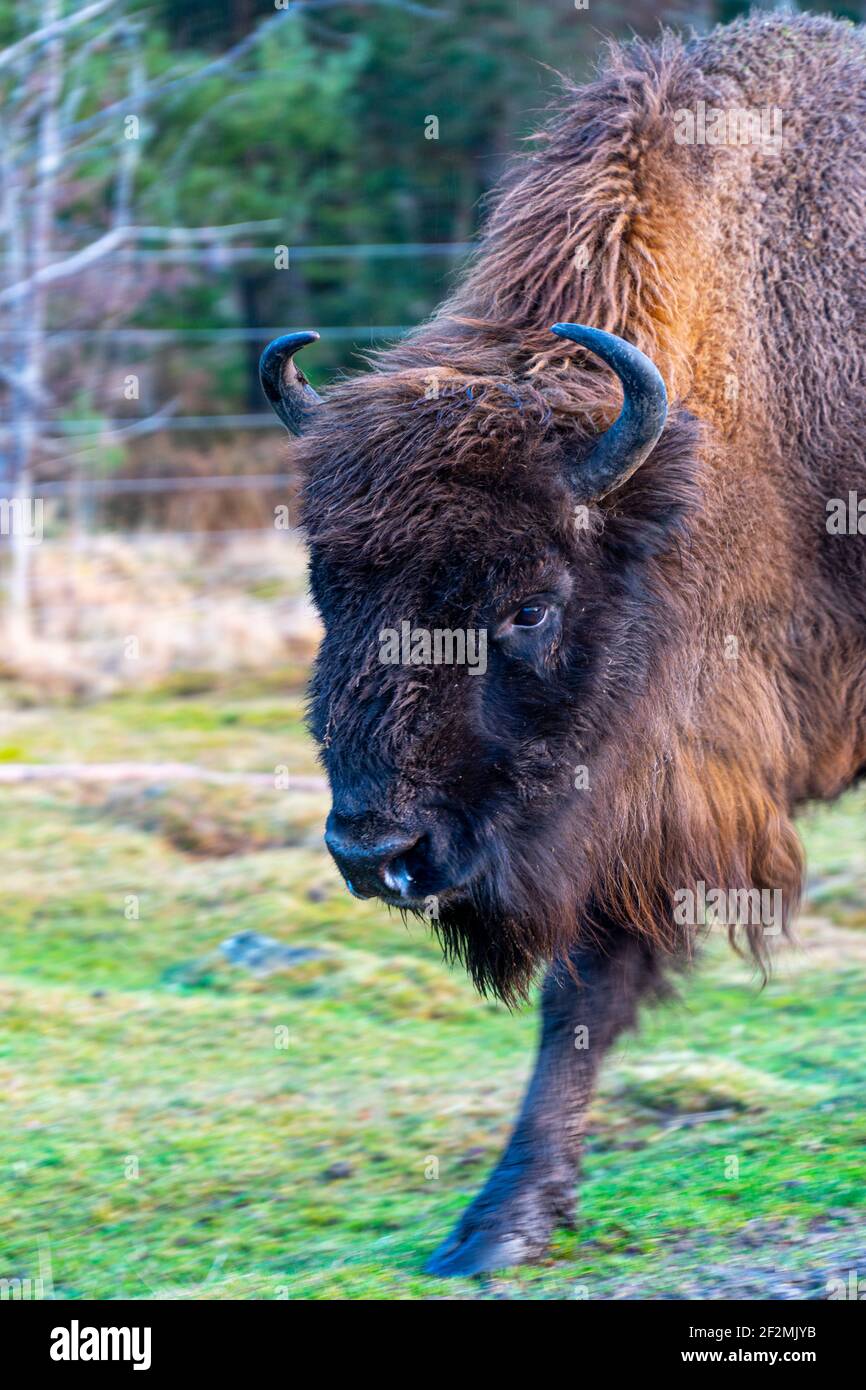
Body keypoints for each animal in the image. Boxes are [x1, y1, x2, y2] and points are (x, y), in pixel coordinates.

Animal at [261, 13, 866, 1275]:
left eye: (526, 606)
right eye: (326, 585)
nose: (375, 851)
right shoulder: (631, 793)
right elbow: (584, 990)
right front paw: (497, 1223)